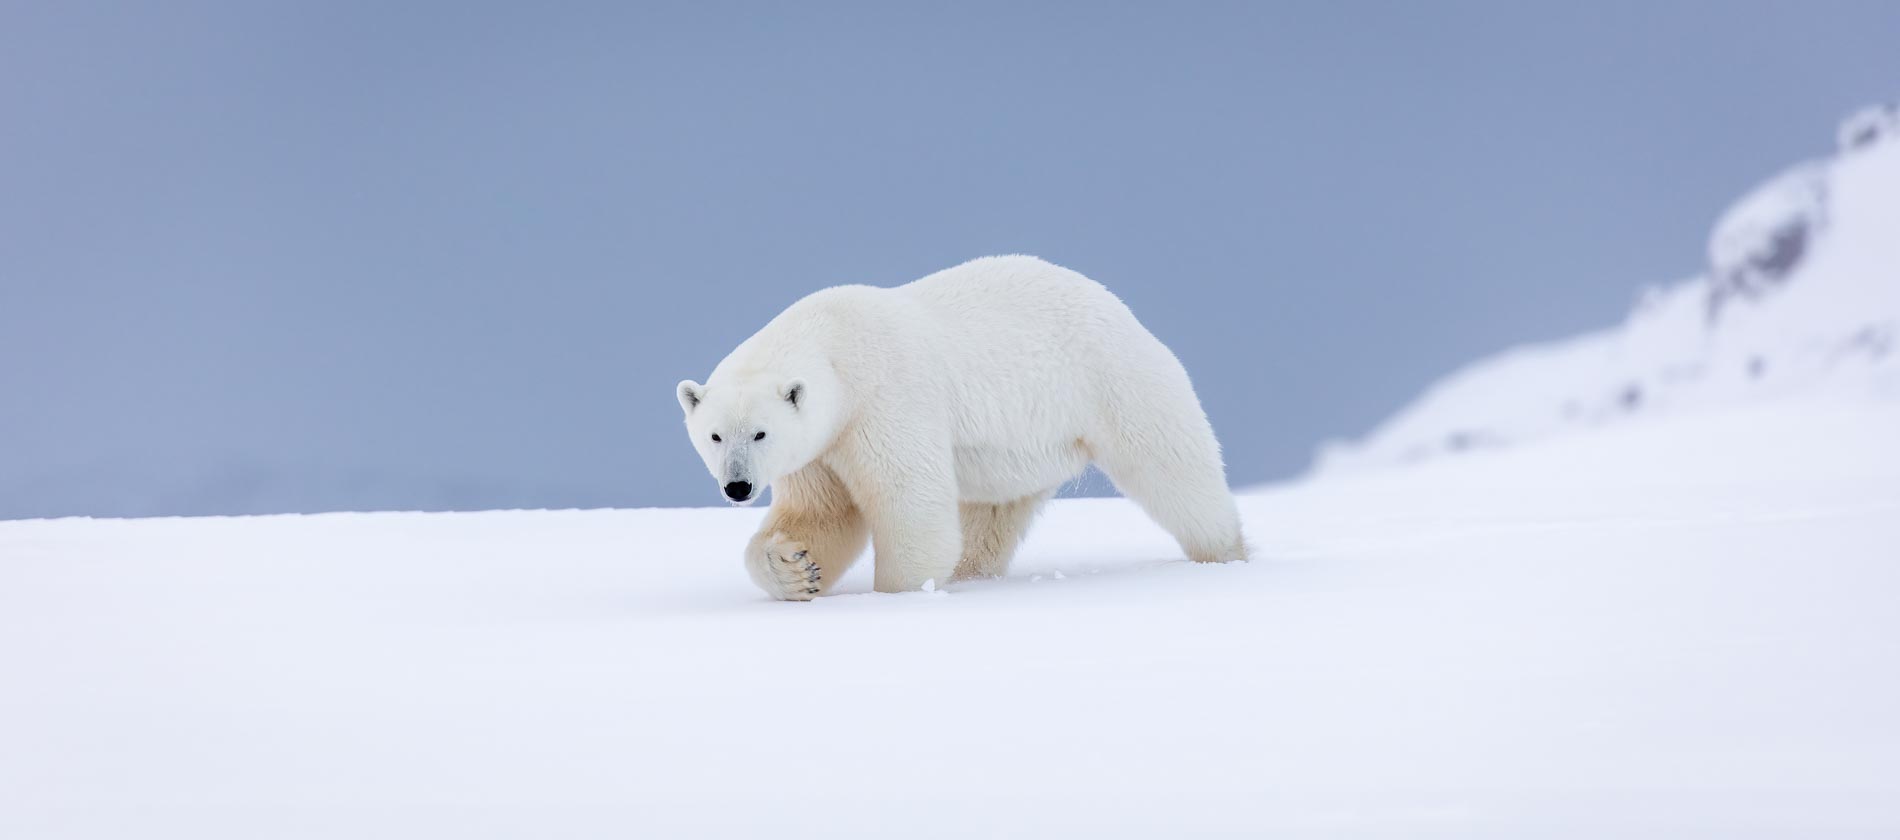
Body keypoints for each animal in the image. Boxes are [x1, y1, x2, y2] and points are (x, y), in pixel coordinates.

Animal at [675, 255, 1247, 600]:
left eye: (760, 433)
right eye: (715, 435)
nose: (738, 486)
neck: (834, 346)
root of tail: (1116, 305)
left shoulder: (883, 400)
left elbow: (910, 503)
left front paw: (901, 593)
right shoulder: (821, 445)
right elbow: (822, 514)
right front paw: (796, 566)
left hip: (1114, 382)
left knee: (1174, 471)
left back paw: (1226, 552)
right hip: (1016, 452)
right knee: (991, 515)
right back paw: (972, 575)